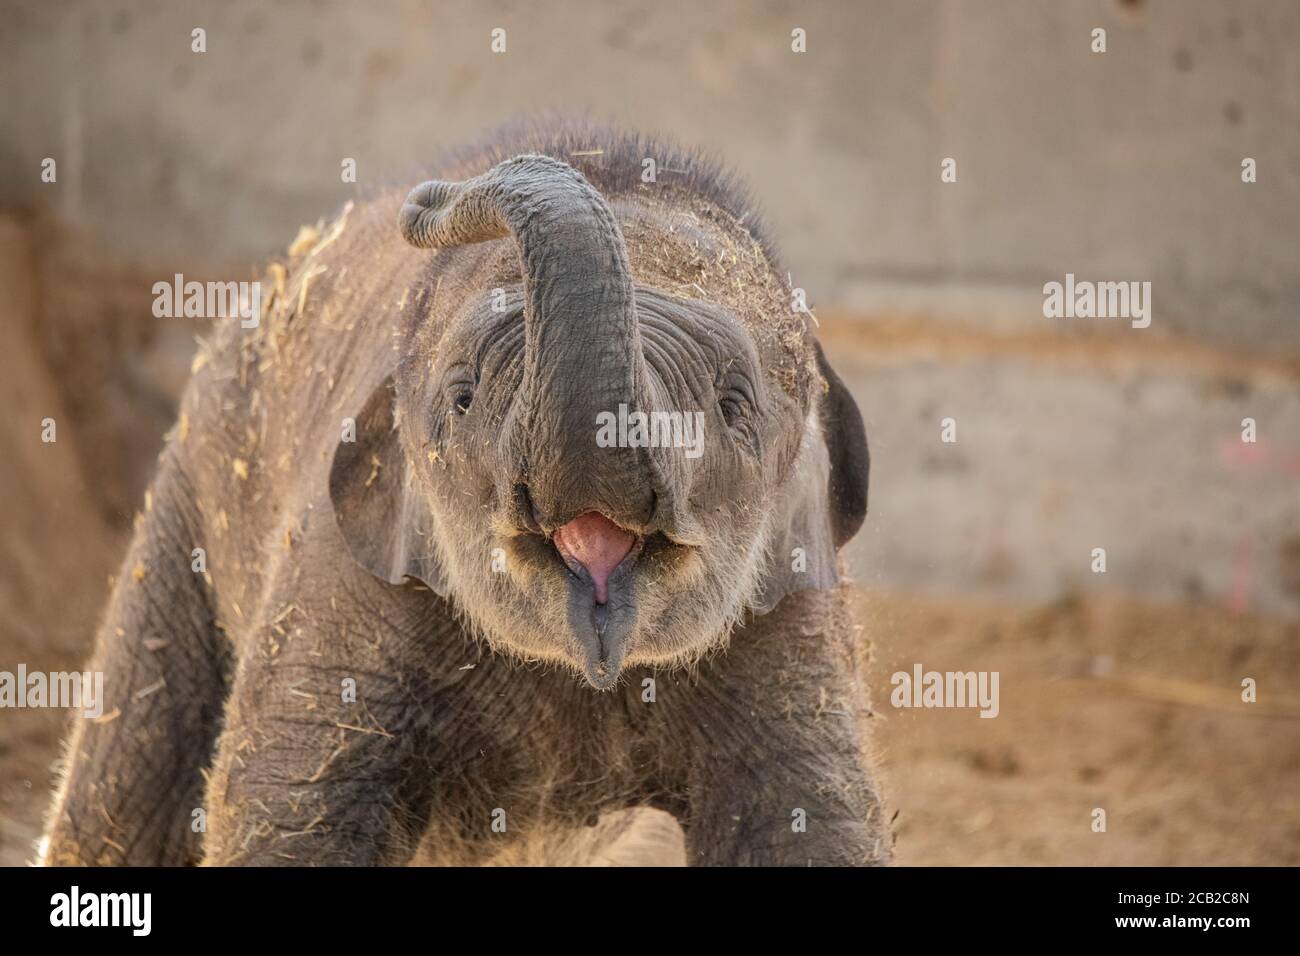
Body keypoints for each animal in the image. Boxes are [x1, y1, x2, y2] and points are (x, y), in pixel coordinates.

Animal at [40, 122, 889, 866]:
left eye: (735, 405)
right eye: (463, 398)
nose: (431, 199)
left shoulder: (792, 609)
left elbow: (808, 826)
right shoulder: (341, 575)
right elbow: (289, 812)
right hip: (189, 489)